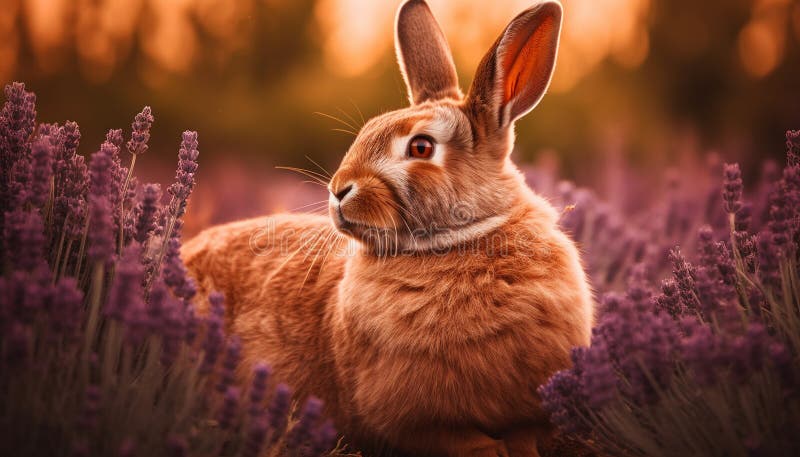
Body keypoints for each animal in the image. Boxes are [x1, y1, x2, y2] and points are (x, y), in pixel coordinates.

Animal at [182, 1, 593, 456]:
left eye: (421, 147)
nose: (338, 190)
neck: (459, 241)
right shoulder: (418, 421)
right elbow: (467, 442)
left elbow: (522, 438)